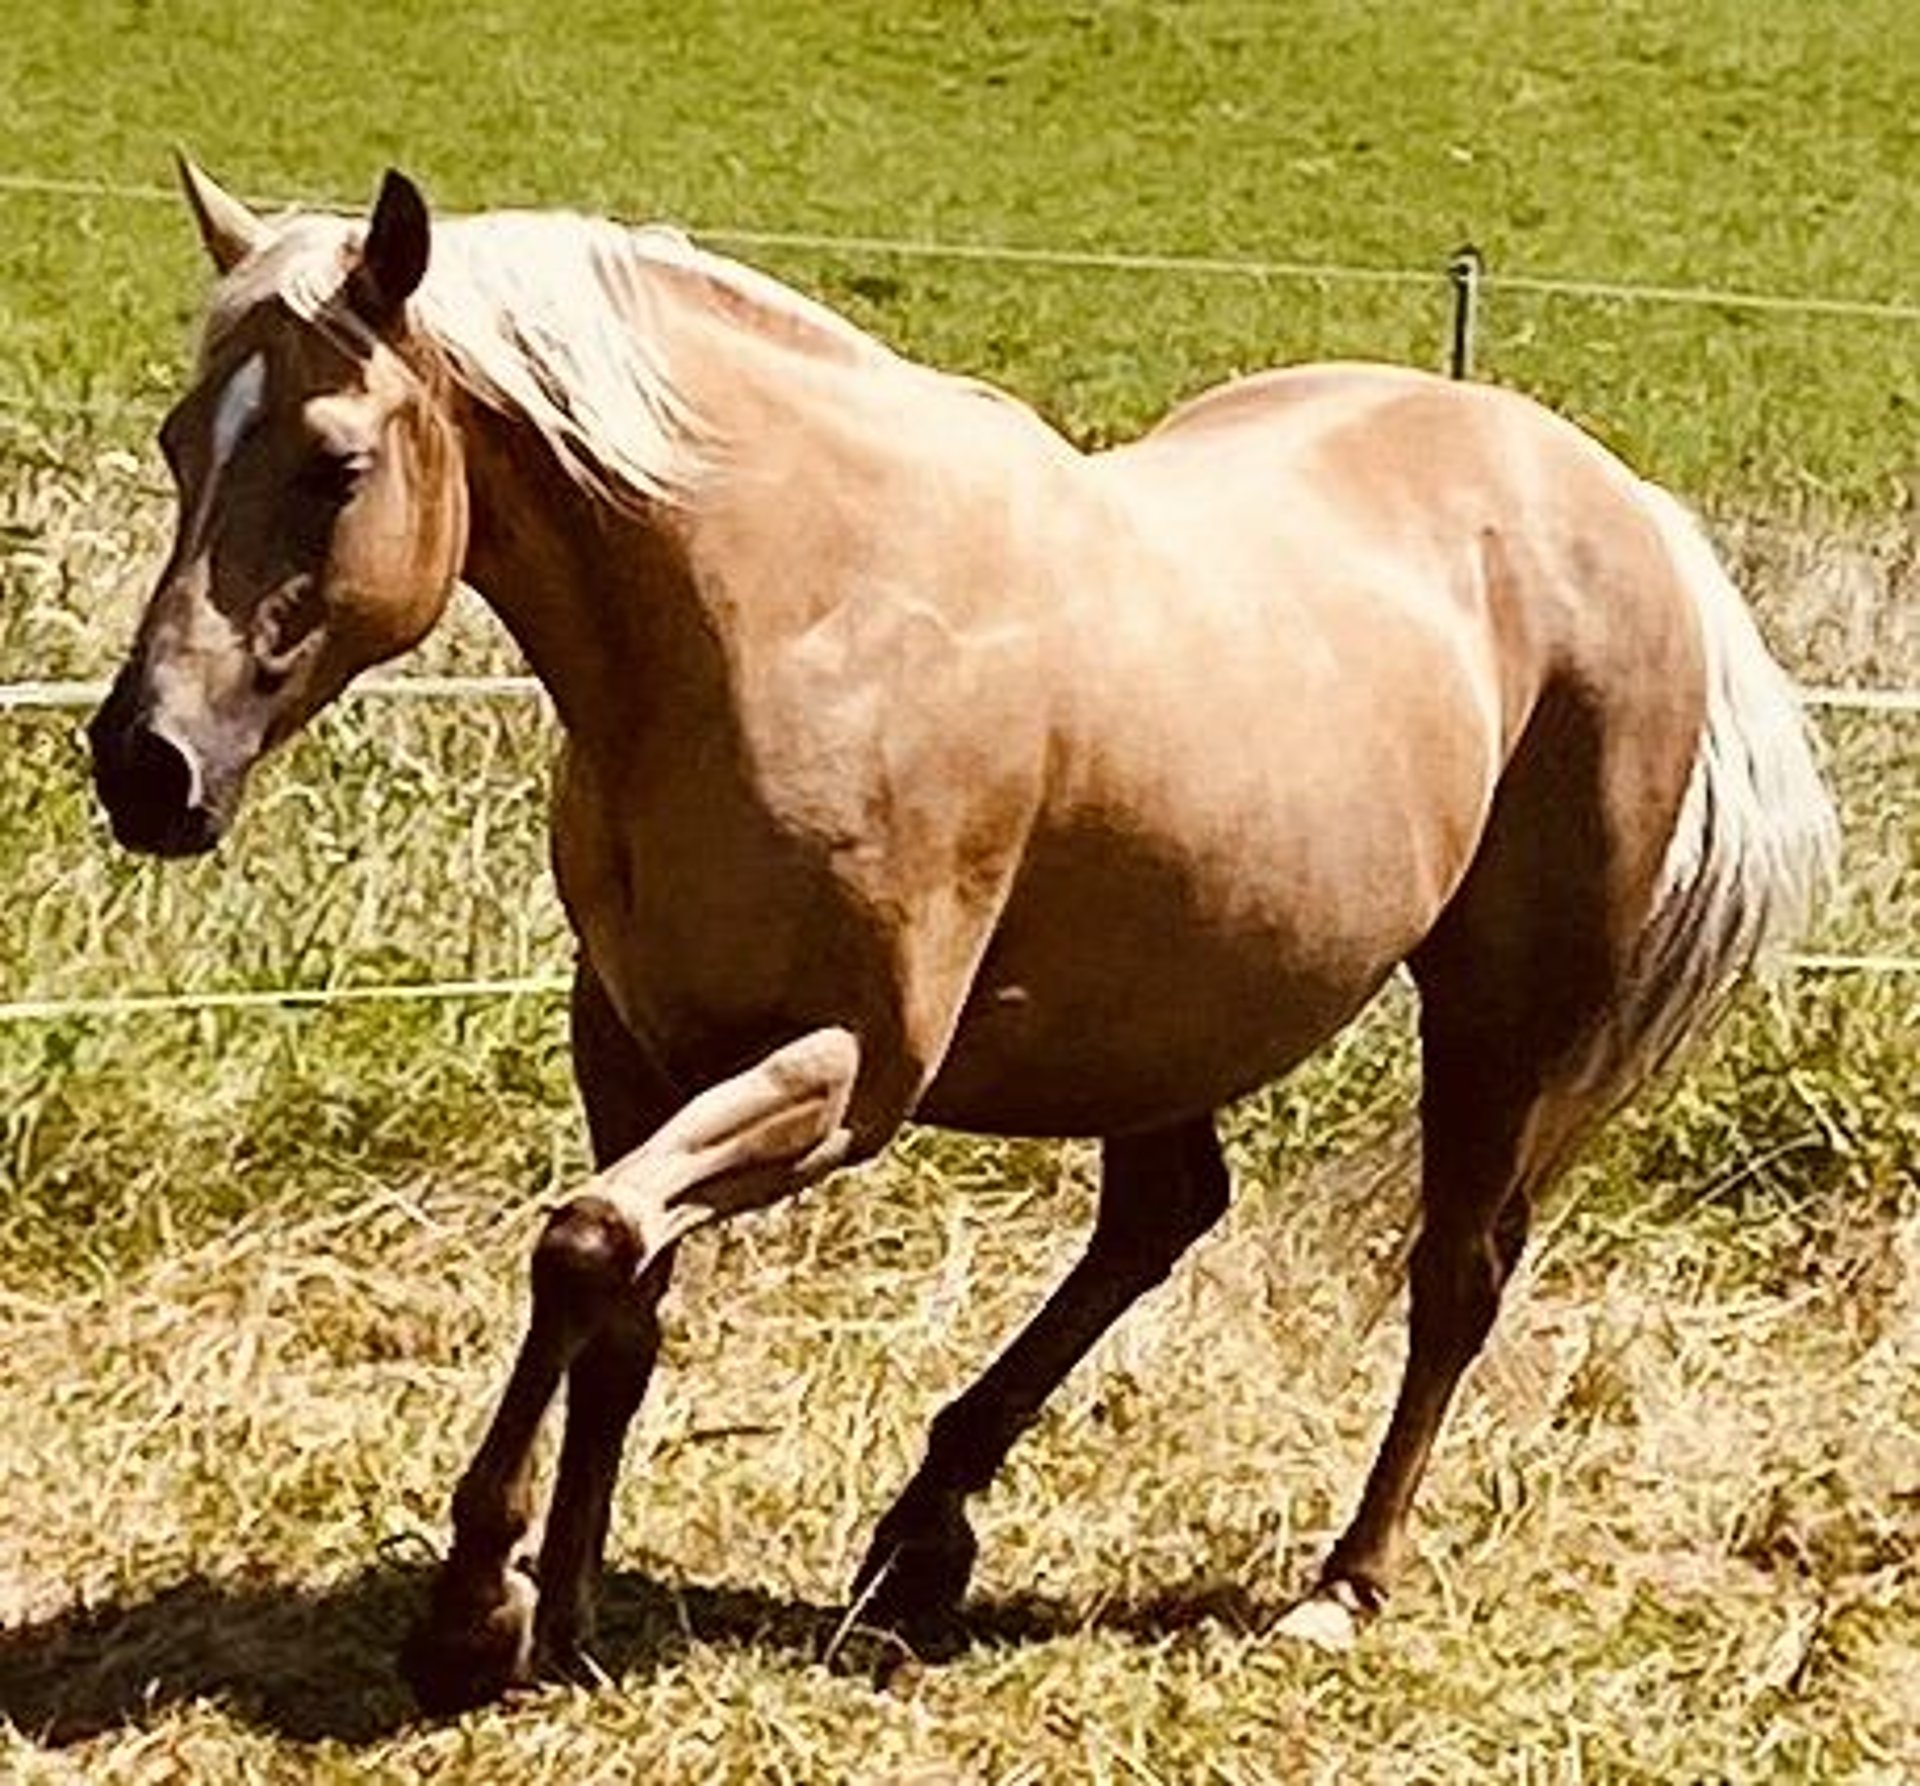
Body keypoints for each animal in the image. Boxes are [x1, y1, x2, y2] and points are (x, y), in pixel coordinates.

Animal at [87, 162, 1837, 1712]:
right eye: (181, 439)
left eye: (334, 463)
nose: (143, 764)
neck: (781, 614)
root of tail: (1616, 501)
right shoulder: (633, 1042)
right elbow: (619, 1297)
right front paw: (561, 1610)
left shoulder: (850, 1072)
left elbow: (581, 1243)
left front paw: (471, 1617)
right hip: (1167, 1006)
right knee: (1161, 1215)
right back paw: (923, 1535)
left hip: (1498, 1004)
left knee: (1454, 1274)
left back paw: (1338, 1586)